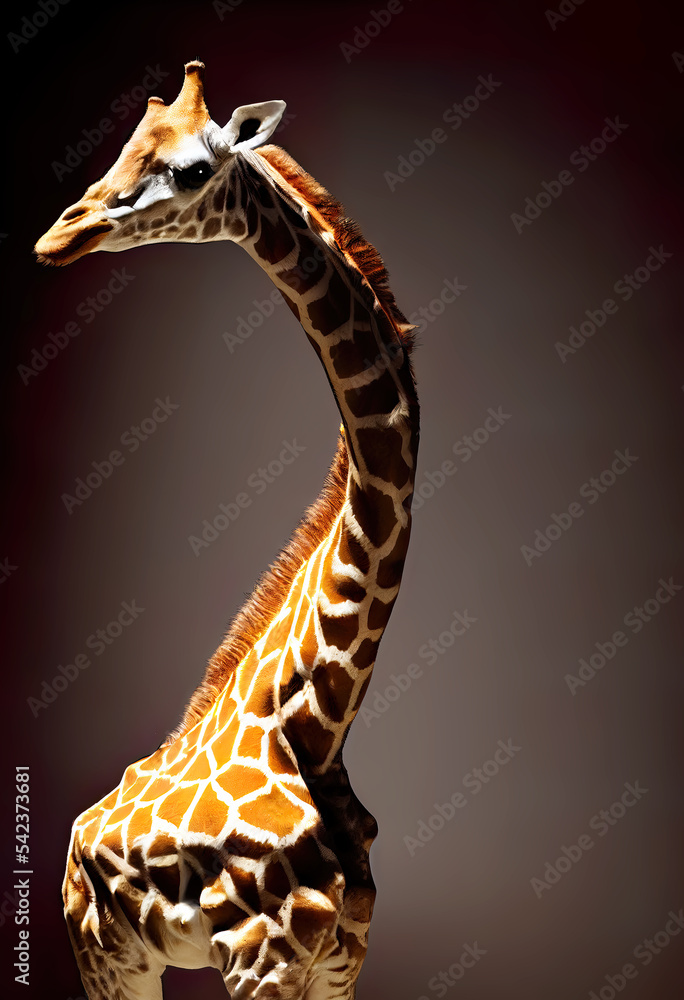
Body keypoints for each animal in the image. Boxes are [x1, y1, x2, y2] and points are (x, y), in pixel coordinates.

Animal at [35, 61, 419, 1000]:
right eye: (121, 150)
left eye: (192, 169)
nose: (61, 233)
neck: (313, 720)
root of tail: (77, 831)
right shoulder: (259, 954)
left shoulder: (335, 957)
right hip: (104, 949)